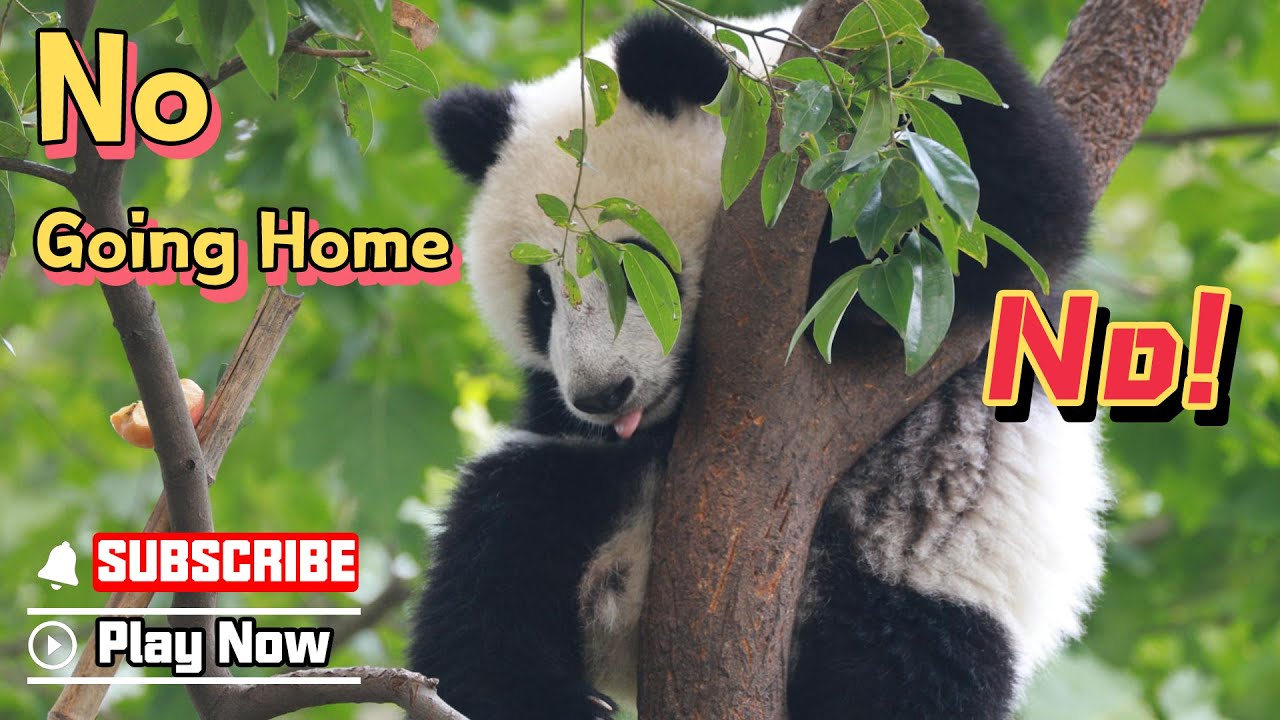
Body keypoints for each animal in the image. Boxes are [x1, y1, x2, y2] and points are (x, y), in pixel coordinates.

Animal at [409, 2, 1109, 719]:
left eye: (637, 266)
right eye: (542, 296)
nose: (602, 395)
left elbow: (1013, 210)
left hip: (935, 571)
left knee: (910, 664)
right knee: (501, 544)